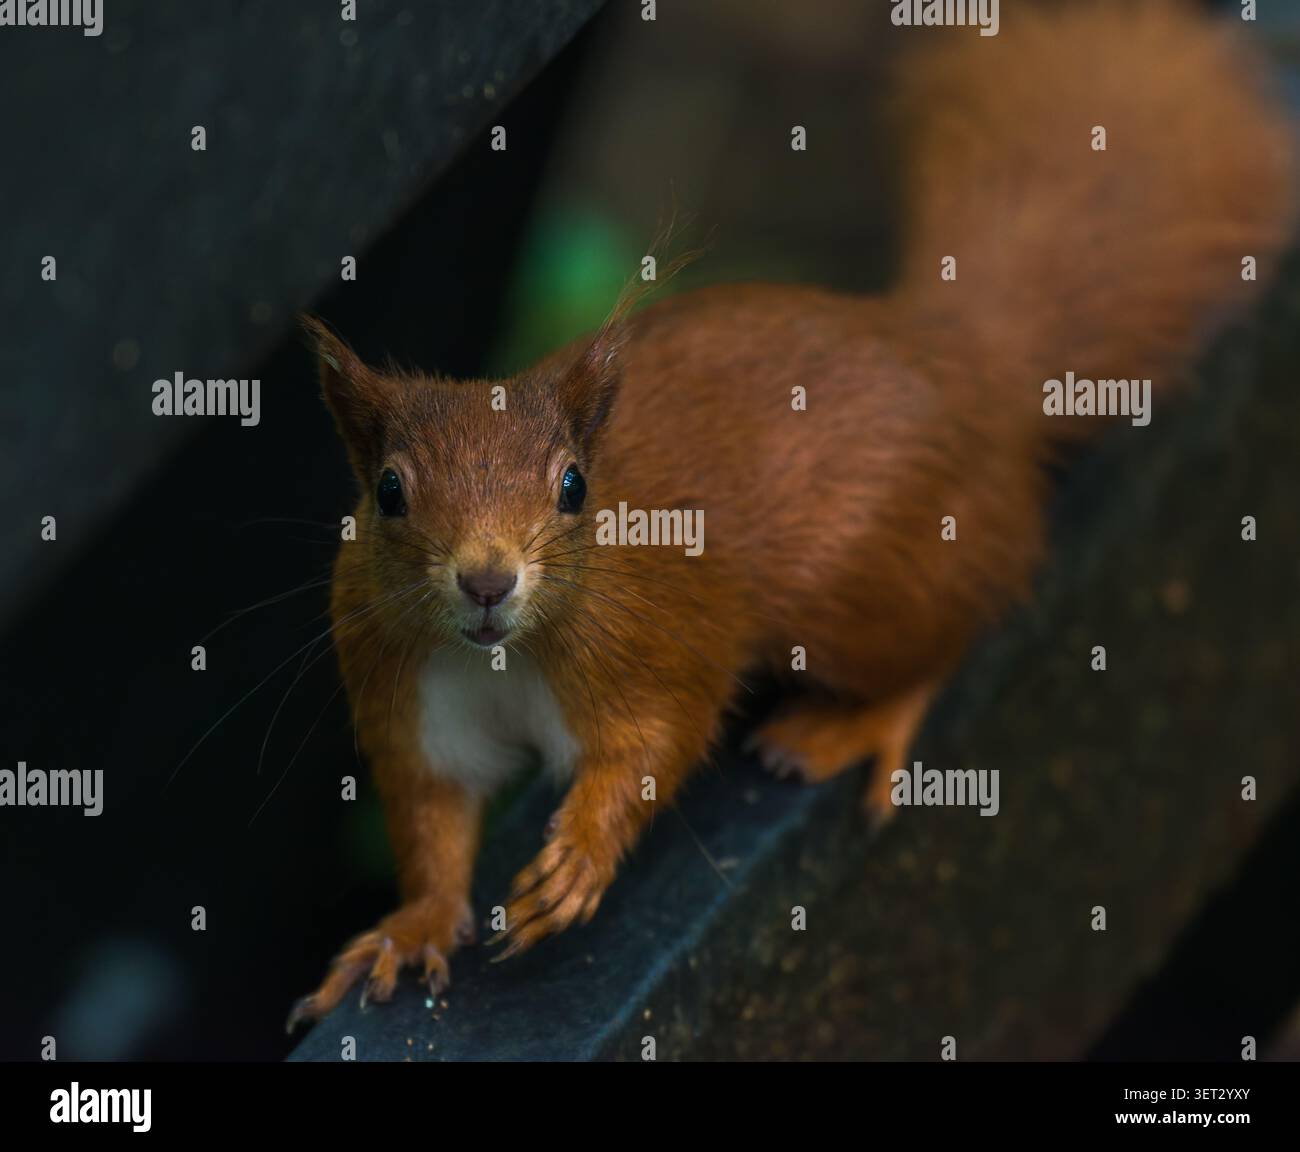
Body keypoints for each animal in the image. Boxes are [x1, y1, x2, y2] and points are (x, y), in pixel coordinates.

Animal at [287, 0, 1296, 1030]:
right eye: (389, 492)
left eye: (573, 487)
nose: (487, 580)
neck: (502, 655)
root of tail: (965, 369)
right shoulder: (416, 695)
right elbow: (433, 822)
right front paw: (411, 927)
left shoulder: (656, 642)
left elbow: (657, 741)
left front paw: (576, 862)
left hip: (868, 582)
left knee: (954, 628)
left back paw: (849, 727)